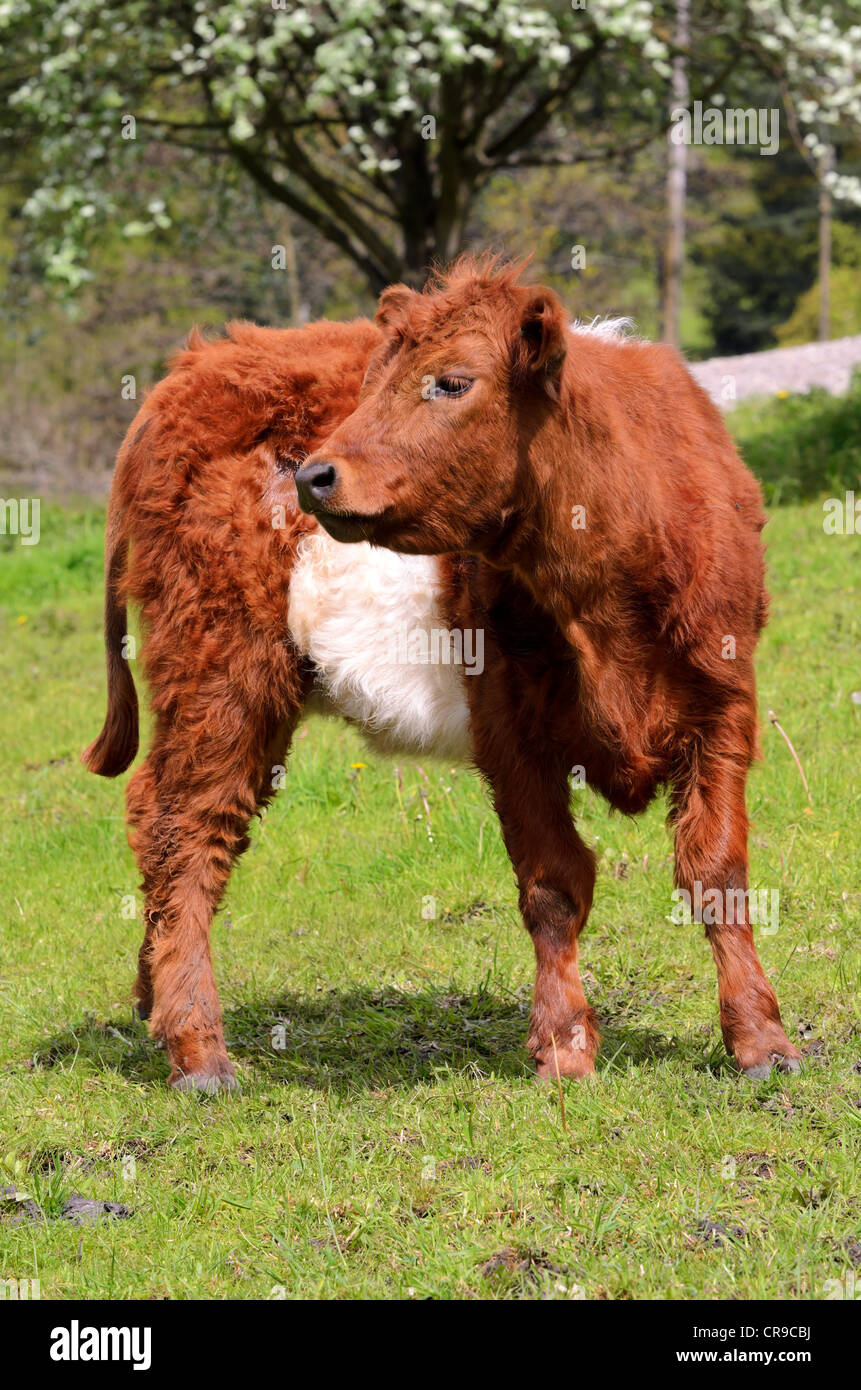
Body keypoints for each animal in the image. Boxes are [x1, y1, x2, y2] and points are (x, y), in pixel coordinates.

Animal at [295, 255, 801, 1084]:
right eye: (371, 381)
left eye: (451, 382)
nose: (312, 475)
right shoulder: (508, 736)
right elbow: (553, 886)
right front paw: (563, 1043)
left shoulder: (724, 710)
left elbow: (716, 872)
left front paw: (760, 1037)